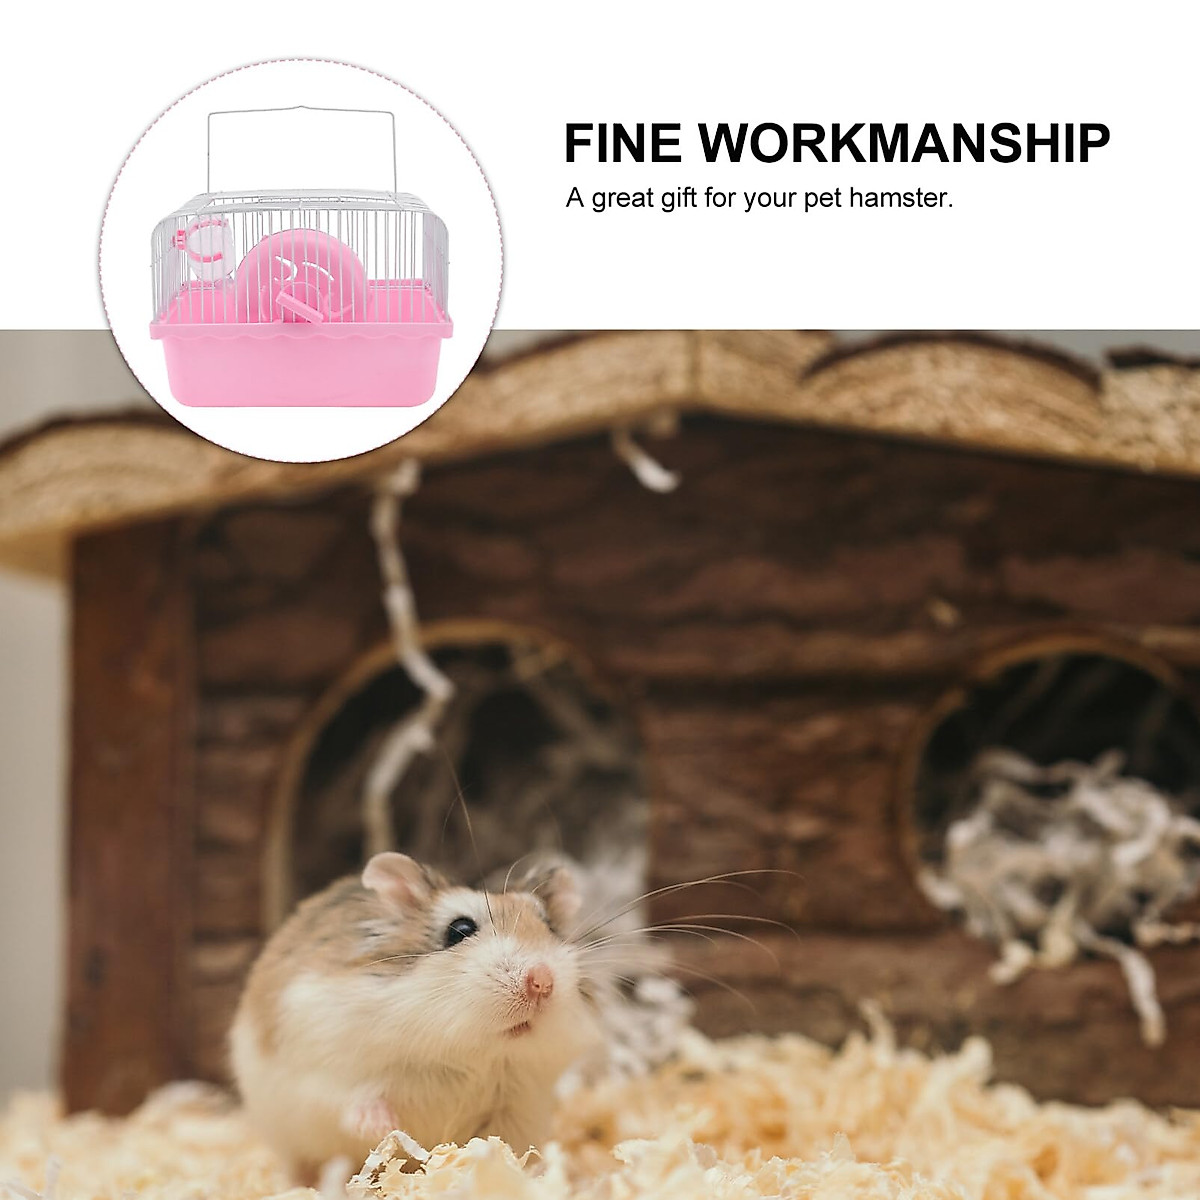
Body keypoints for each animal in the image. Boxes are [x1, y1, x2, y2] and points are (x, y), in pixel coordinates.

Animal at [230, 852, 602, 1177]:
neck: (470, 1053)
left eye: (550, 927)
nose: (542, 981)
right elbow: (353, 1100)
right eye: (460, 929)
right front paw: (386, 1128)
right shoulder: (325, 1069)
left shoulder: (518, 1106)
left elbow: (501, 1145)